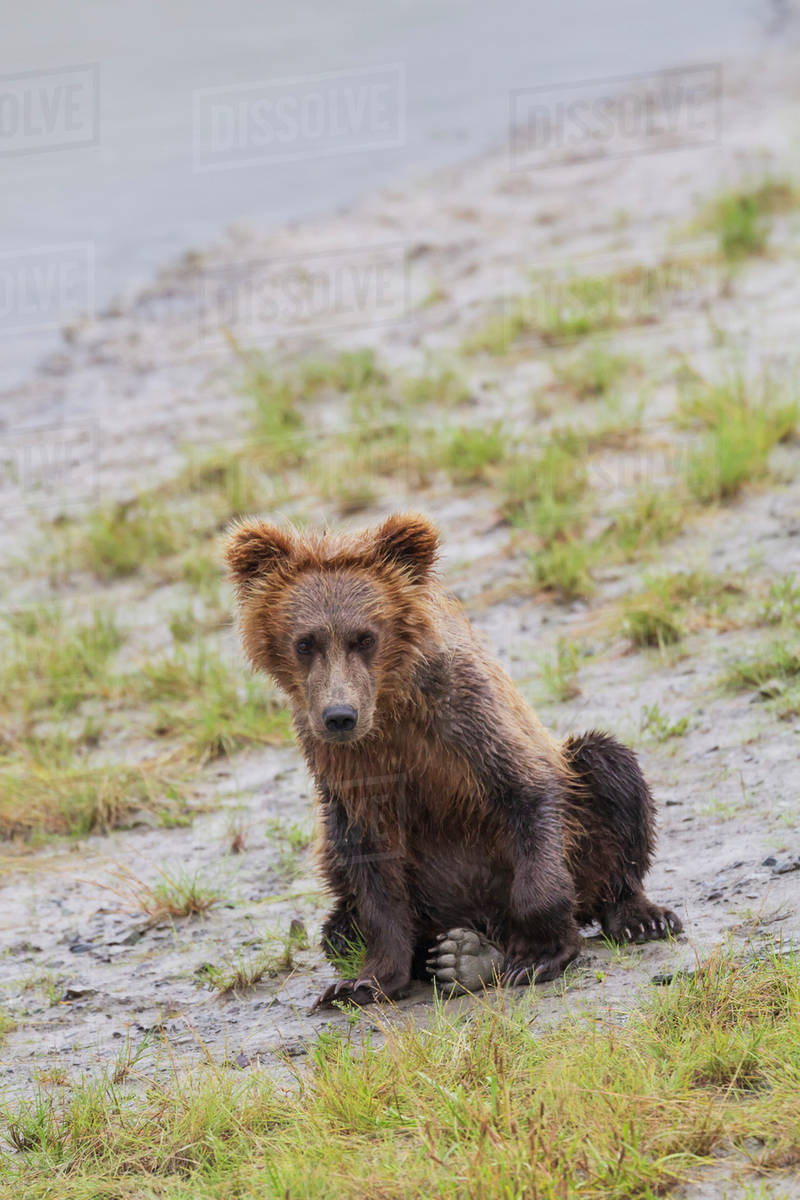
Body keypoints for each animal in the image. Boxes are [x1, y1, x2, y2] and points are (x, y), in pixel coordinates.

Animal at [226, 511, 682, 1007]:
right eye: (305, 643)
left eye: (364, 638)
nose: (340, 715)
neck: (390, 707)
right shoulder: (345, 762)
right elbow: (370, 860)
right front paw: (364, 981)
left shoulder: (465, 717)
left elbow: (528, 790)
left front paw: (541, 953)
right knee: (338, 912)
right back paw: (452, 954)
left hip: (580, 825)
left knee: (607, 771)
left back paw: (634, 918)